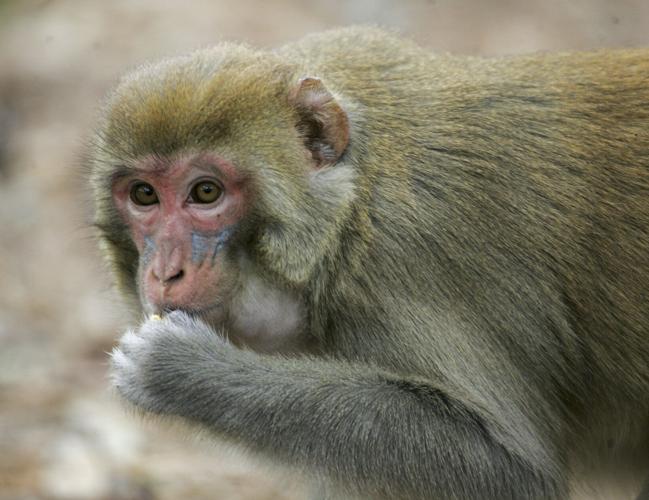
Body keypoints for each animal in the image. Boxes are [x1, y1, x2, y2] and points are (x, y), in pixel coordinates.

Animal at [88, 26, 649, 499]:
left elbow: (506, 470)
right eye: (144, 195)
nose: (164, 272)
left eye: (206, 192)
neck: (352, 208)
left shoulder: (409, 256)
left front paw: (181, 372)